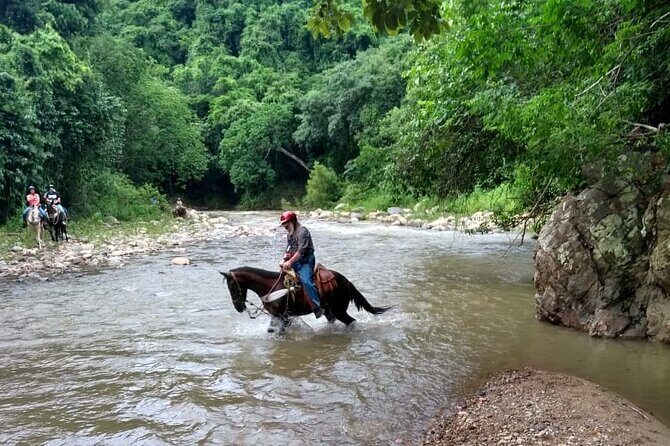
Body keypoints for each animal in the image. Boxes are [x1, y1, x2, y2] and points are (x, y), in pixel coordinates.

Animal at [221, 266, 390, 335]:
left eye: (232, 286)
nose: (238, 307)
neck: (270, 287)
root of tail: (346, 282)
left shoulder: (285, 316)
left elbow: (279, 333)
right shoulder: (277, 316)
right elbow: (271, 330)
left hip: (339, 310)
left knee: (351, 321)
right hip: (329, 310)